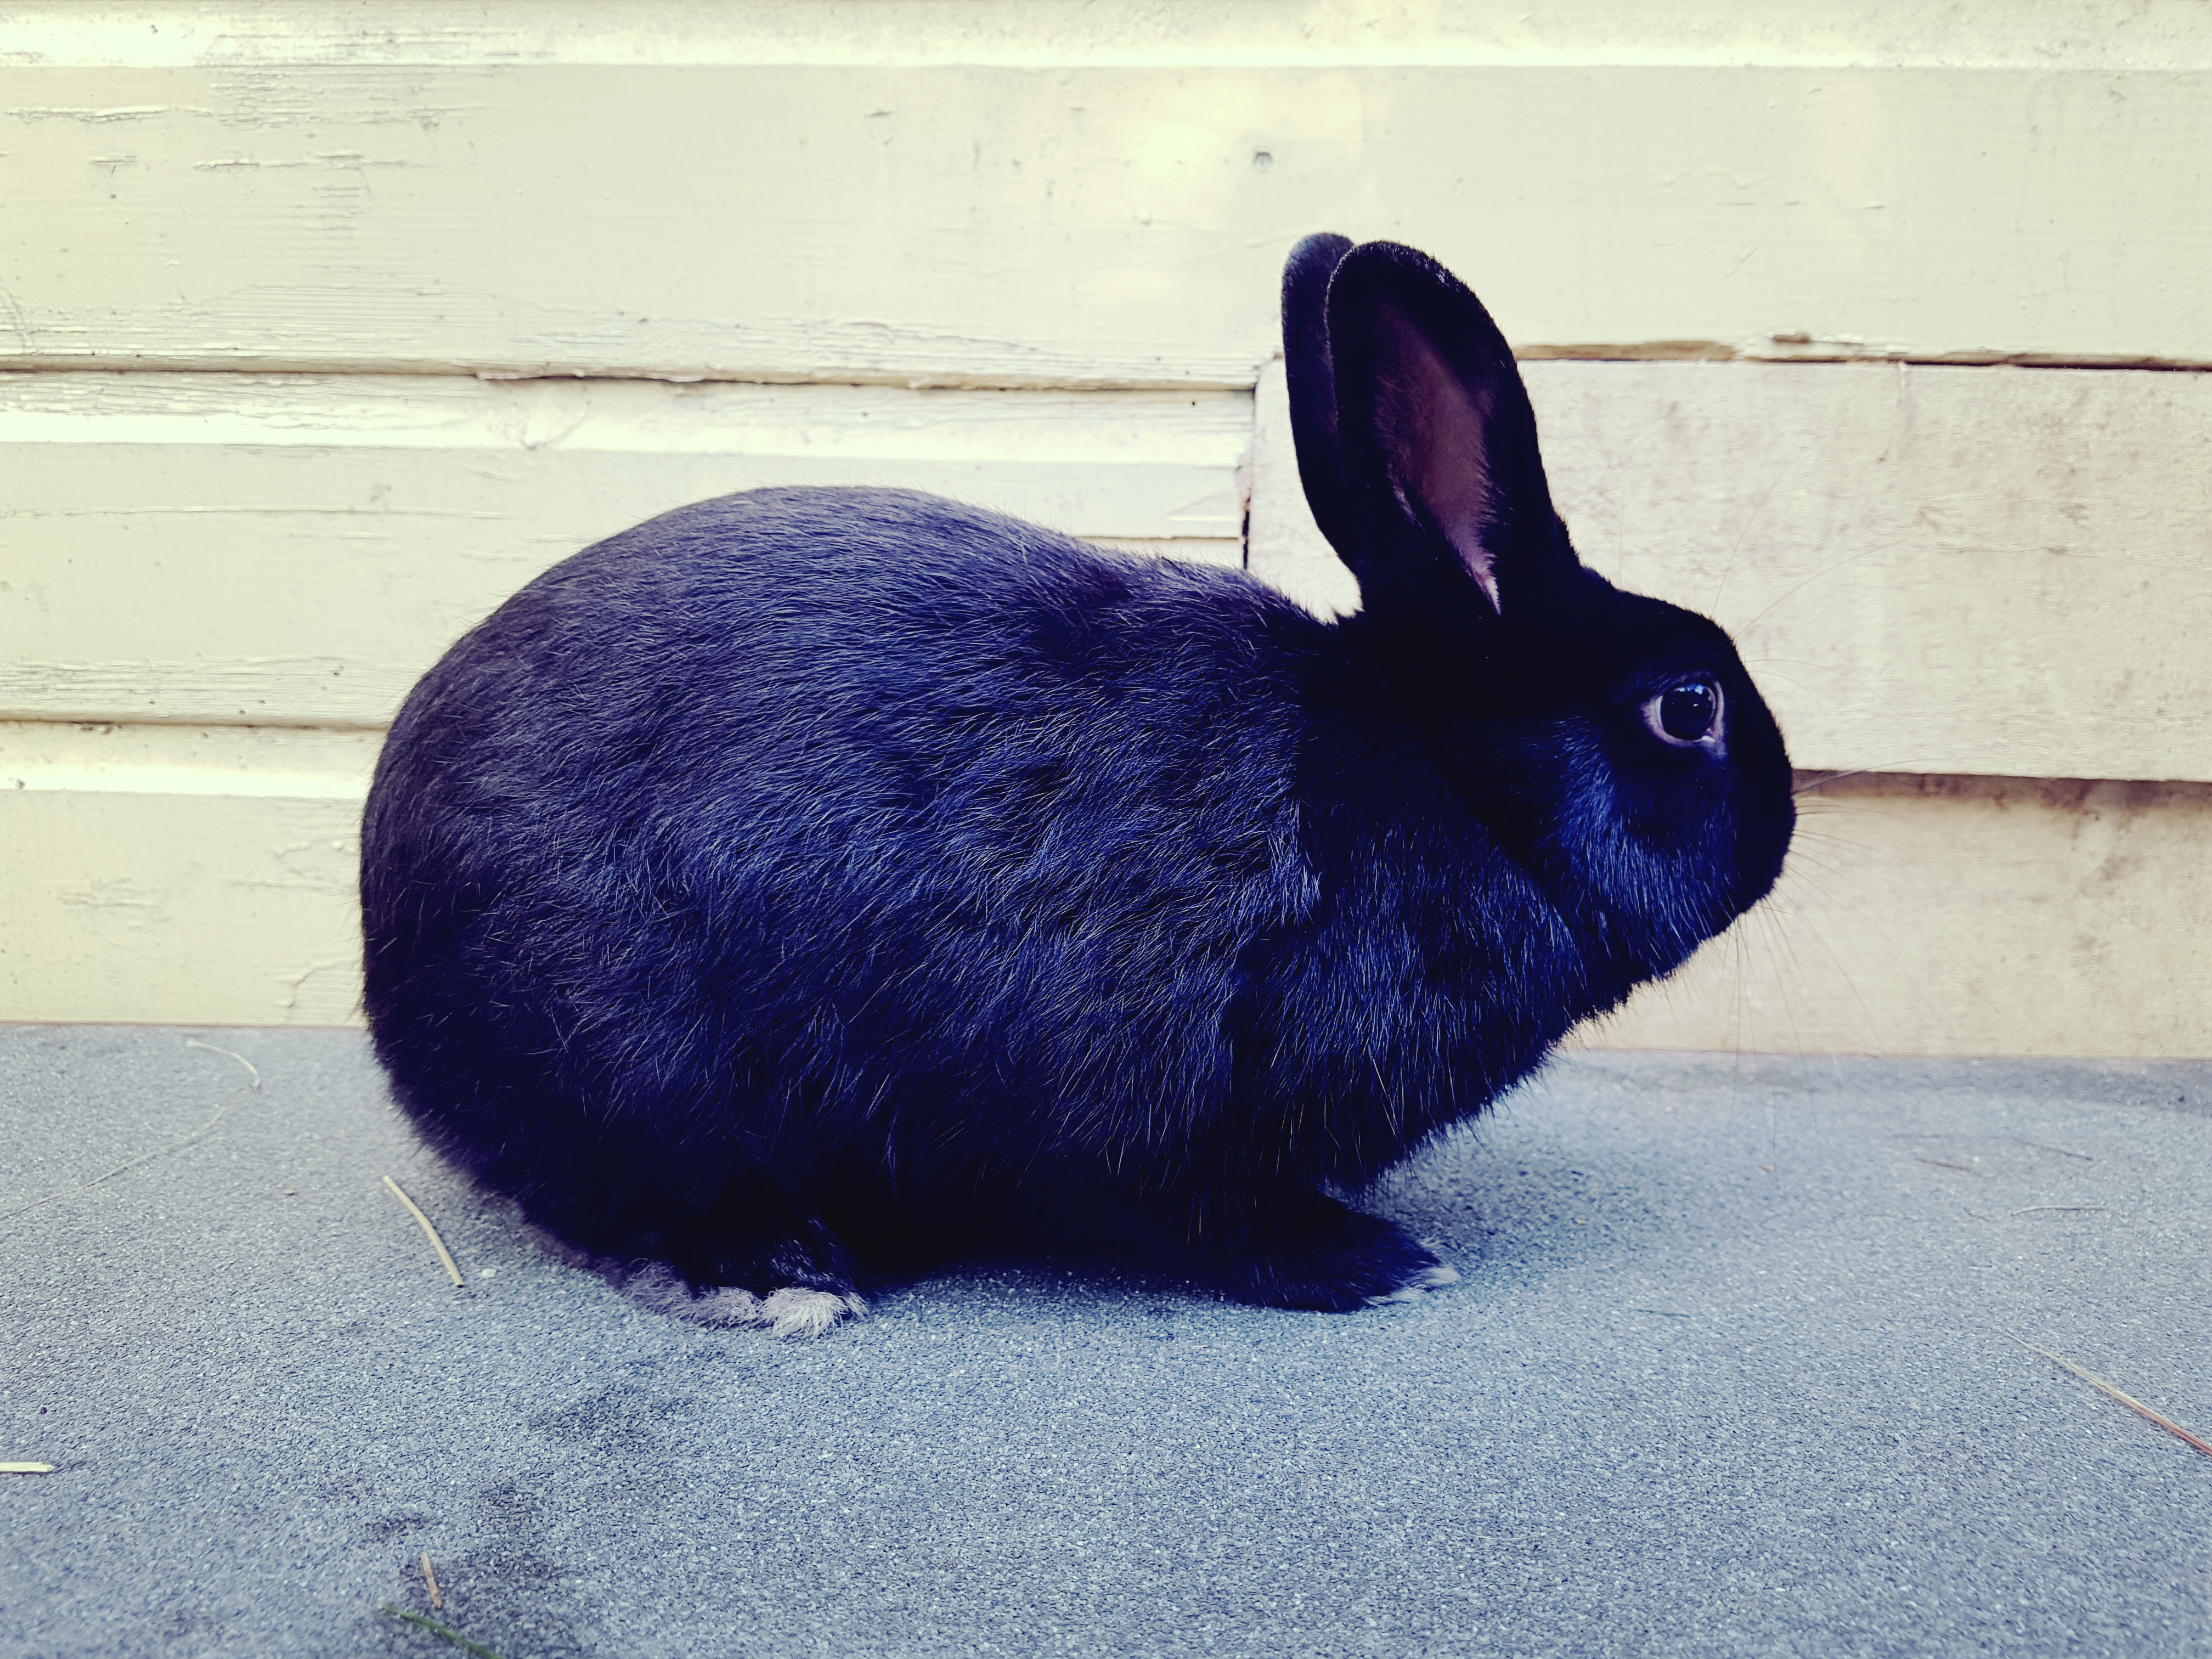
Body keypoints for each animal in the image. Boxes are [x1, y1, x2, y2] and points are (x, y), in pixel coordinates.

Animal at [360, 234, 1795, 1336]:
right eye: (1690, 707)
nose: (1784, 824)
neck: (1456, 790)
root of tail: (386, 943)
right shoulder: (1193, 1102)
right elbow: (1220, 1218)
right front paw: (1373, 1265)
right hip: (638, 1069)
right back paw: (778, 1274)